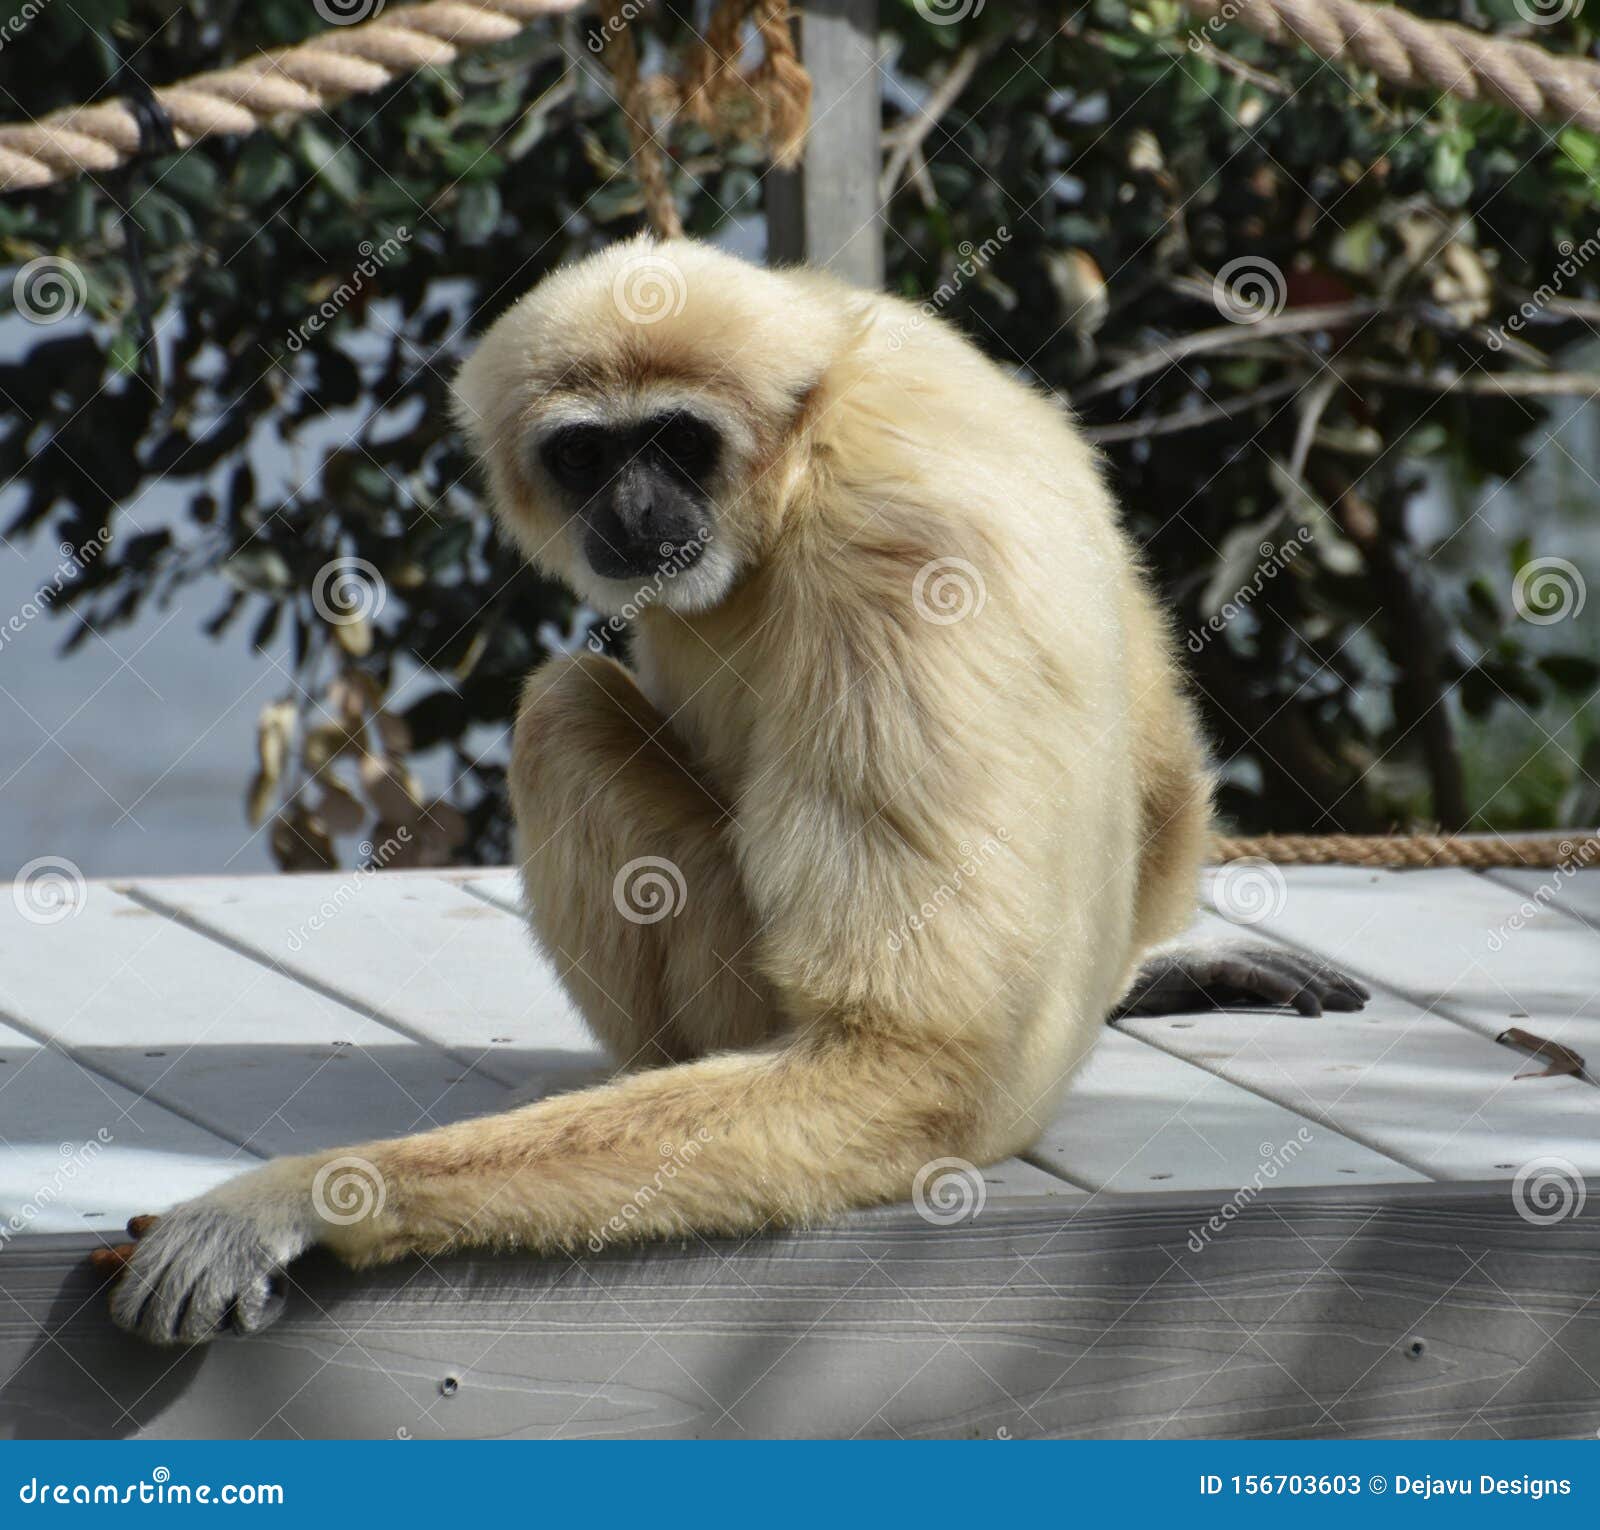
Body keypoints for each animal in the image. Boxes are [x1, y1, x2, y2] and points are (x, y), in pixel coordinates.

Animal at [99, 236, 1366, 1344]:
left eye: (677, 442)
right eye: (585, 456)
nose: (633, 507)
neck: (822, 431)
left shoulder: (891, 563)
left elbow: (909, 1058)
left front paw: (312, 1194)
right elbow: (1162, 786)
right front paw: (1168, 956)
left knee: (562, 709)